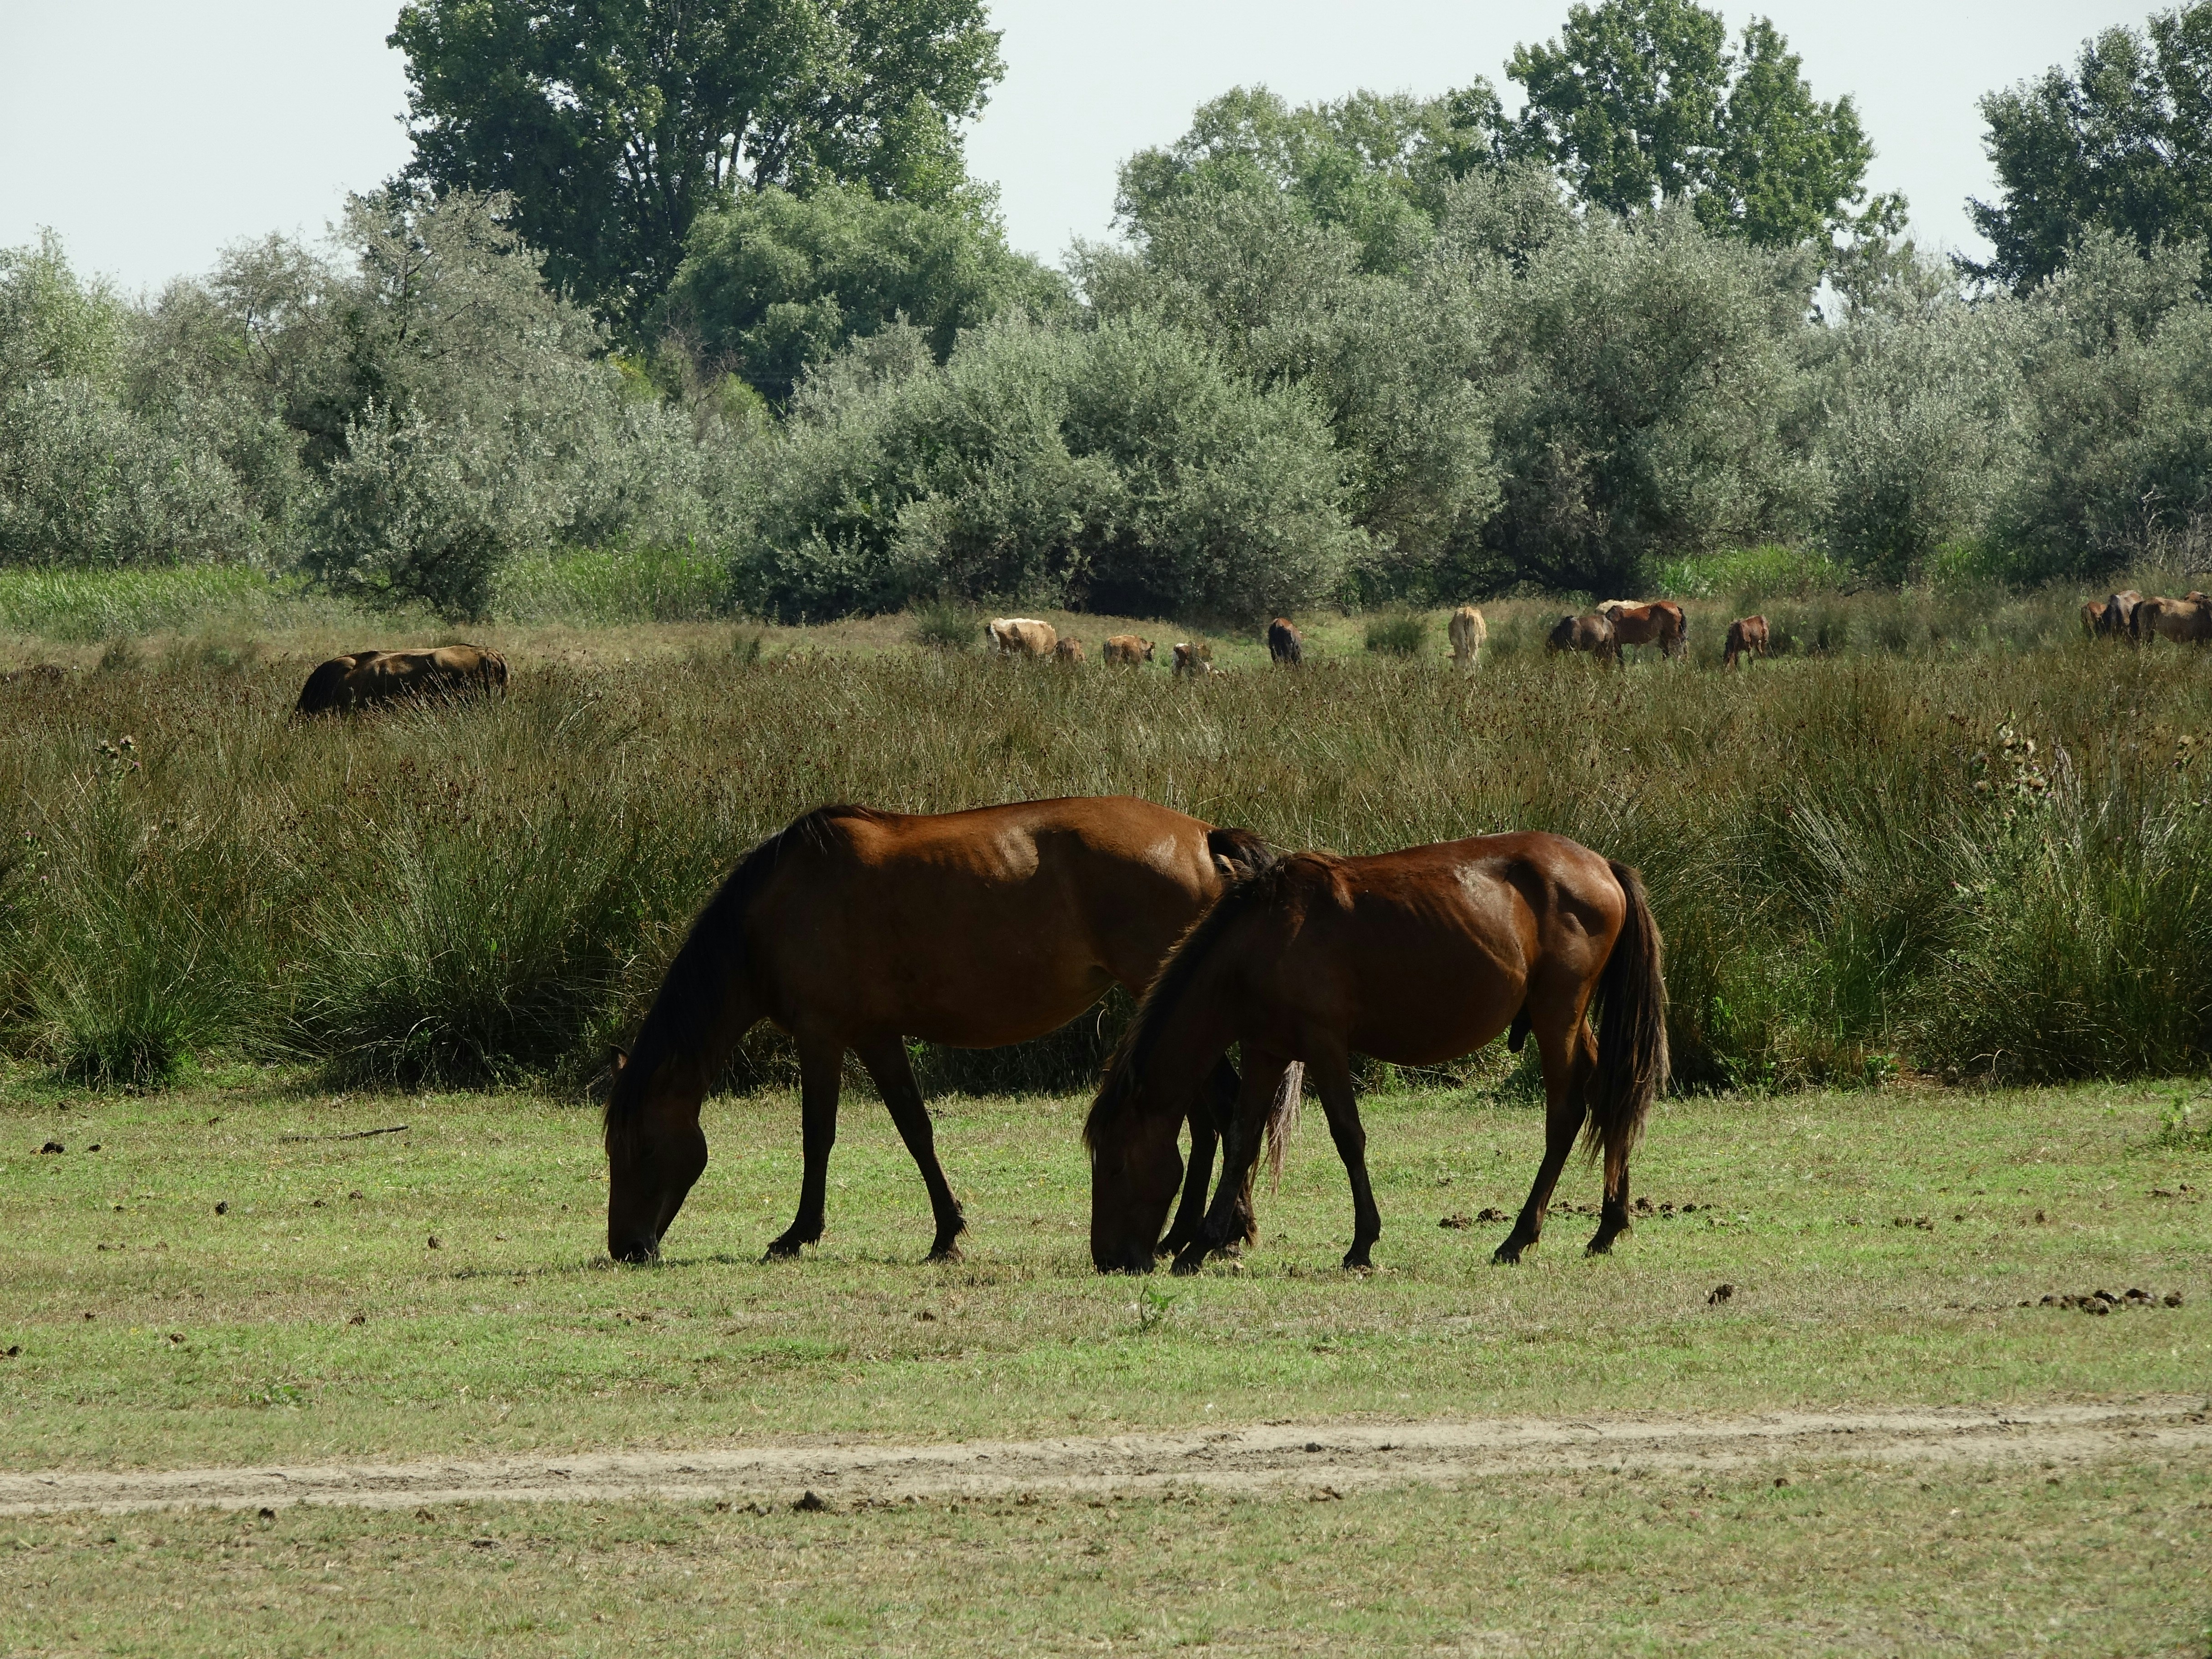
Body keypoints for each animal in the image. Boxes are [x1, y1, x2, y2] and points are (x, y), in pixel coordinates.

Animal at [602, 797, 1280, 1265]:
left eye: (640, 1149)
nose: (627, 1247)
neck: (777, 907)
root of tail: (1205, 838)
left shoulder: (824, 1037)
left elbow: (823, 1137)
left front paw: (799, 1234)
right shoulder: (874, 1038)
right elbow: (915, 1129)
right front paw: (947, 1232)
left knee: (1223, 1111)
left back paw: (1219, 1235)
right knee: (1207, 1116)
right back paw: (1188, 1233)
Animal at [1084, 834, 1668, 1276]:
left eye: (1112, 1166)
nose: (1109, 1259)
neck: (1263, 938)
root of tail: (1602, 867)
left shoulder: (1324, 1046)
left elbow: (1348, 1137)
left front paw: (1362, 1244)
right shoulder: (1265, 1050)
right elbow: (1242, 1139)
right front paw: (1201, 1245)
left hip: (1556, 1016)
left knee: (1566, 1114)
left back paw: (1518, 1238)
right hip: (1570, 1020)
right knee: (1609, 1095)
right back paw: (1608, 1225)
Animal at [1546, 612, 1618, 663]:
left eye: (1550, 647)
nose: (1549, 657)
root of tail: (1611, 625)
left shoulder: (1576, 647)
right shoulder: (1567, 648)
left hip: (1606, 646)